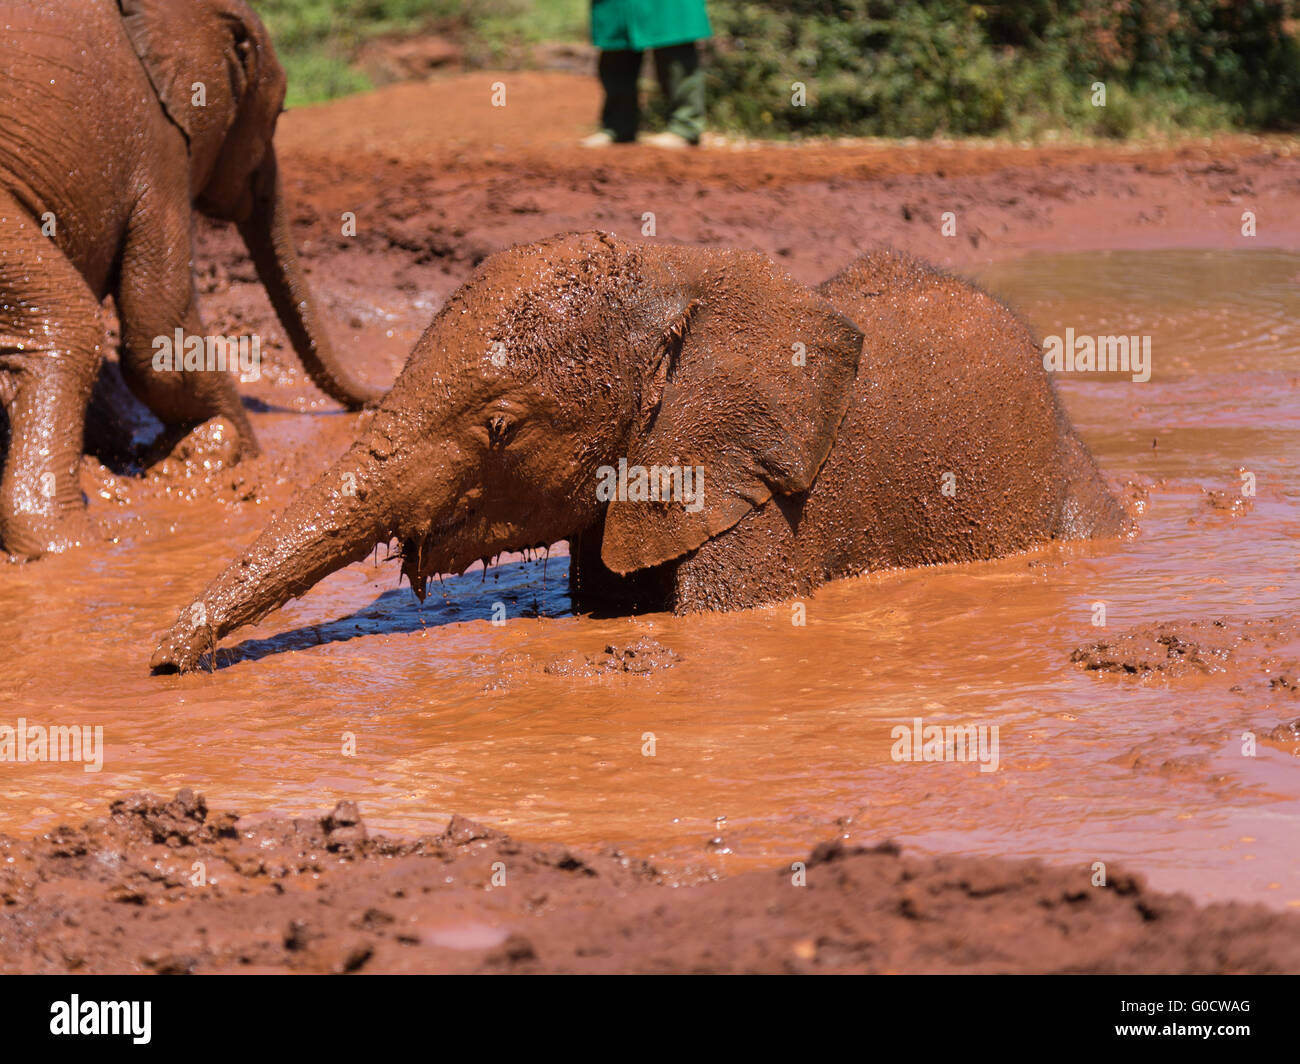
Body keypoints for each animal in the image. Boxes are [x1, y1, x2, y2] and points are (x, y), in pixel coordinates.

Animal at [0, 0, 380, 558]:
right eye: (278, 115)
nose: (379, 393)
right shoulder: (158, 145)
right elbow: (160, 335)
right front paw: (249, 463)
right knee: (66, 323)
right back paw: (70, 545)